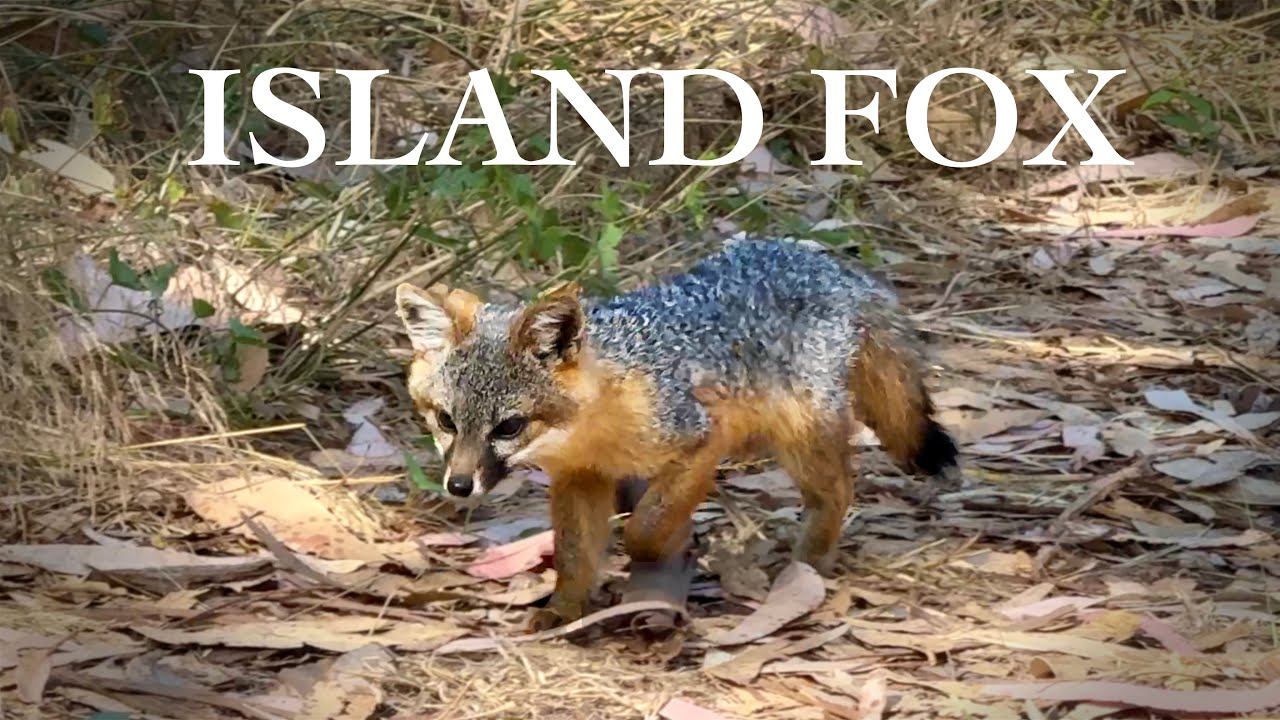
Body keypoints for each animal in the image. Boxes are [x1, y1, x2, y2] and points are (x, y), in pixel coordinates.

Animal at [393, 237, 959, 632]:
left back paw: (807, 568)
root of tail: (826, 264)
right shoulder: (580, 477)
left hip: (802, 434)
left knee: (839, 489)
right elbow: (574, 553)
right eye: (446, 421)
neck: (597, 420)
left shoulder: (700, 441)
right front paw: (565, 608)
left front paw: (660, 555)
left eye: (508, 426)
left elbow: (646, 526)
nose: (459, 486)